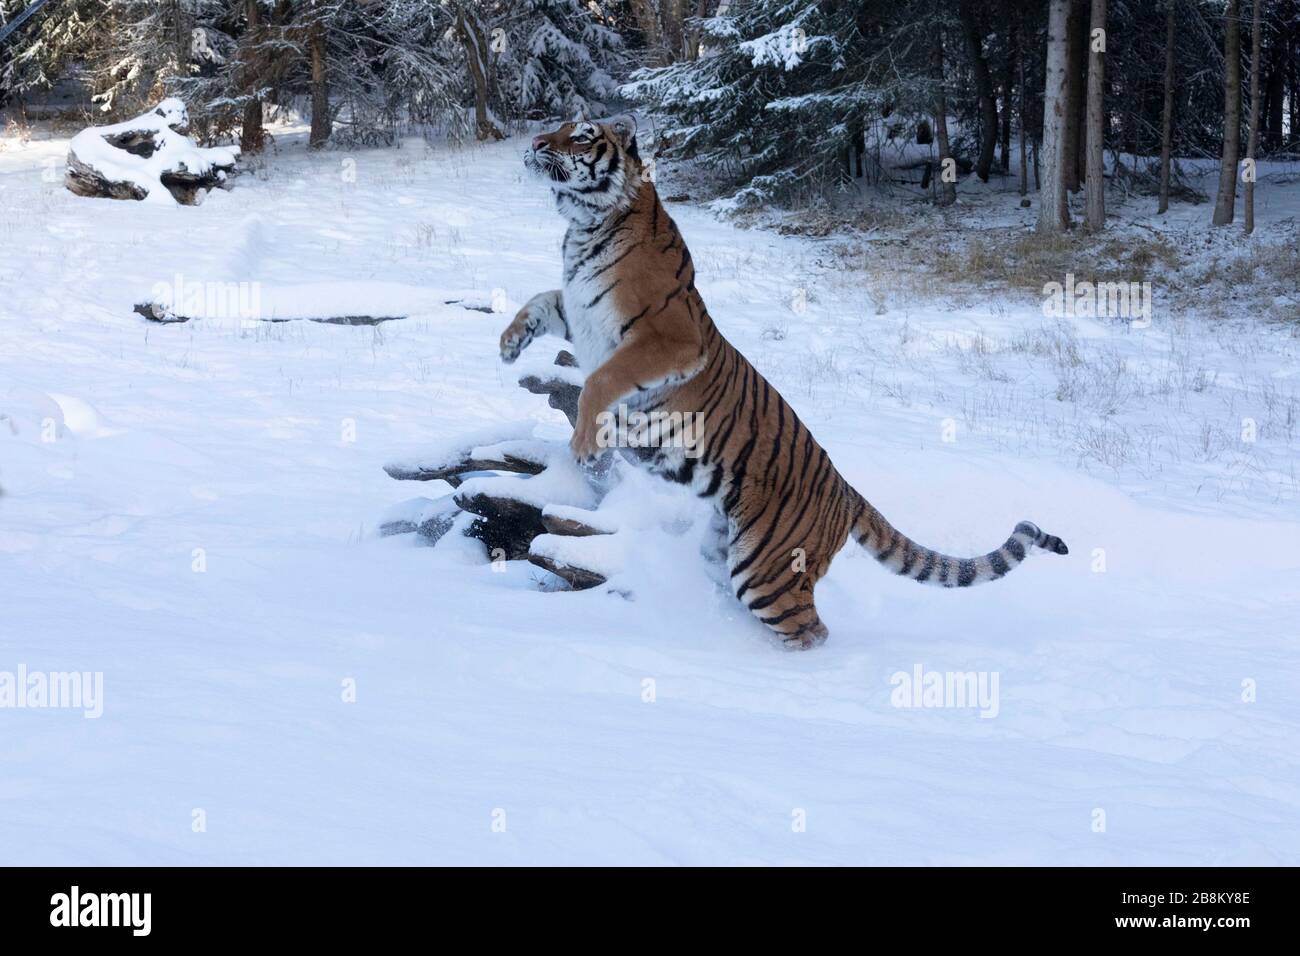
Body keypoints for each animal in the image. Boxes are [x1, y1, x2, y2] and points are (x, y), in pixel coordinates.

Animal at [500, 116, 1069, 648]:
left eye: (581, 135)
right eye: (559, 127)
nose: (535, 143)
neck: (585, 226)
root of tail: (846, 493)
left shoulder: (669, 340)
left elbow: (601, 380)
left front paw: (582, 447)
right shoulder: (579, 314)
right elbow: (541, 300)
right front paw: (509, 343)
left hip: (766, 570)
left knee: (810, 631)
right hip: (725, 545)